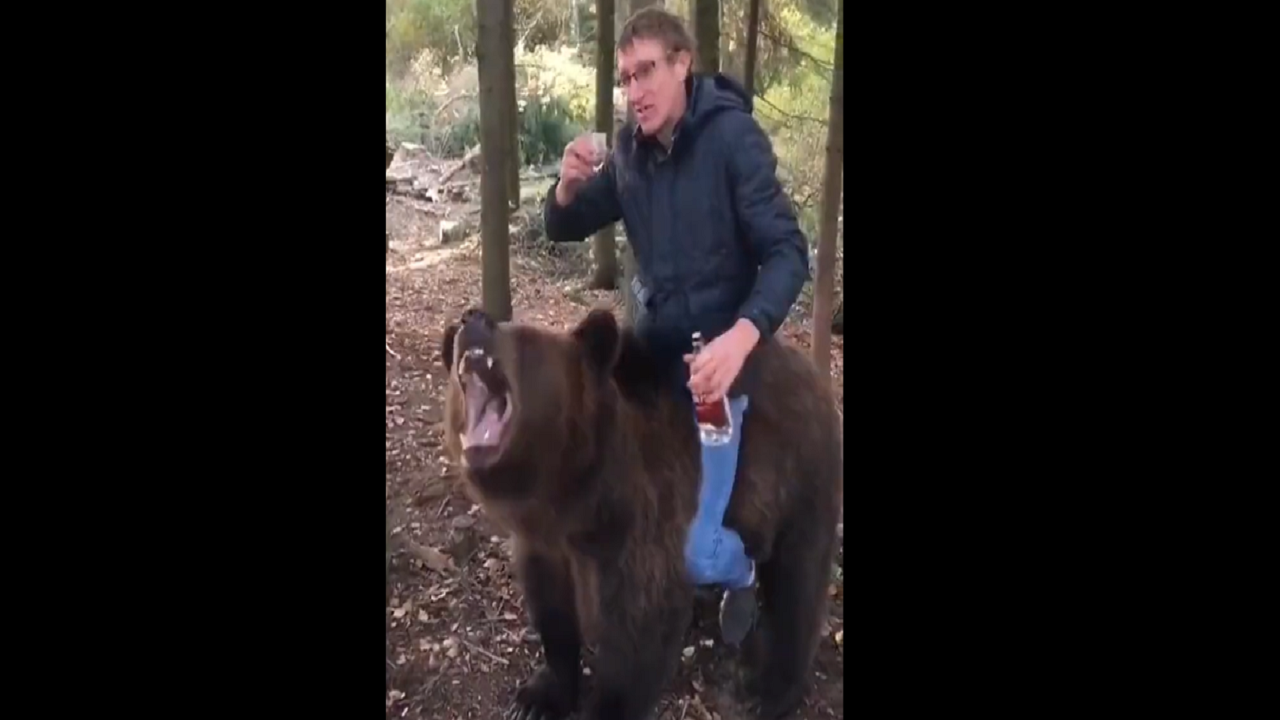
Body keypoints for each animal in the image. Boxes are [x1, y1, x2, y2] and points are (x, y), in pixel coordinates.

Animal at [440, 306, 843, 720]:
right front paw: (539, 696)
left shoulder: (641, 523)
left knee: (799, 580)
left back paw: (772, 689)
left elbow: (638, 632)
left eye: (525, 338)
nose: (473, 319)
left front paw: (605, 704)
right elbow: (552, 609)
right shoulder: (544, 542)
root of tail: (812, 369)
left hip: (798, 476)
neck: (573, 496)